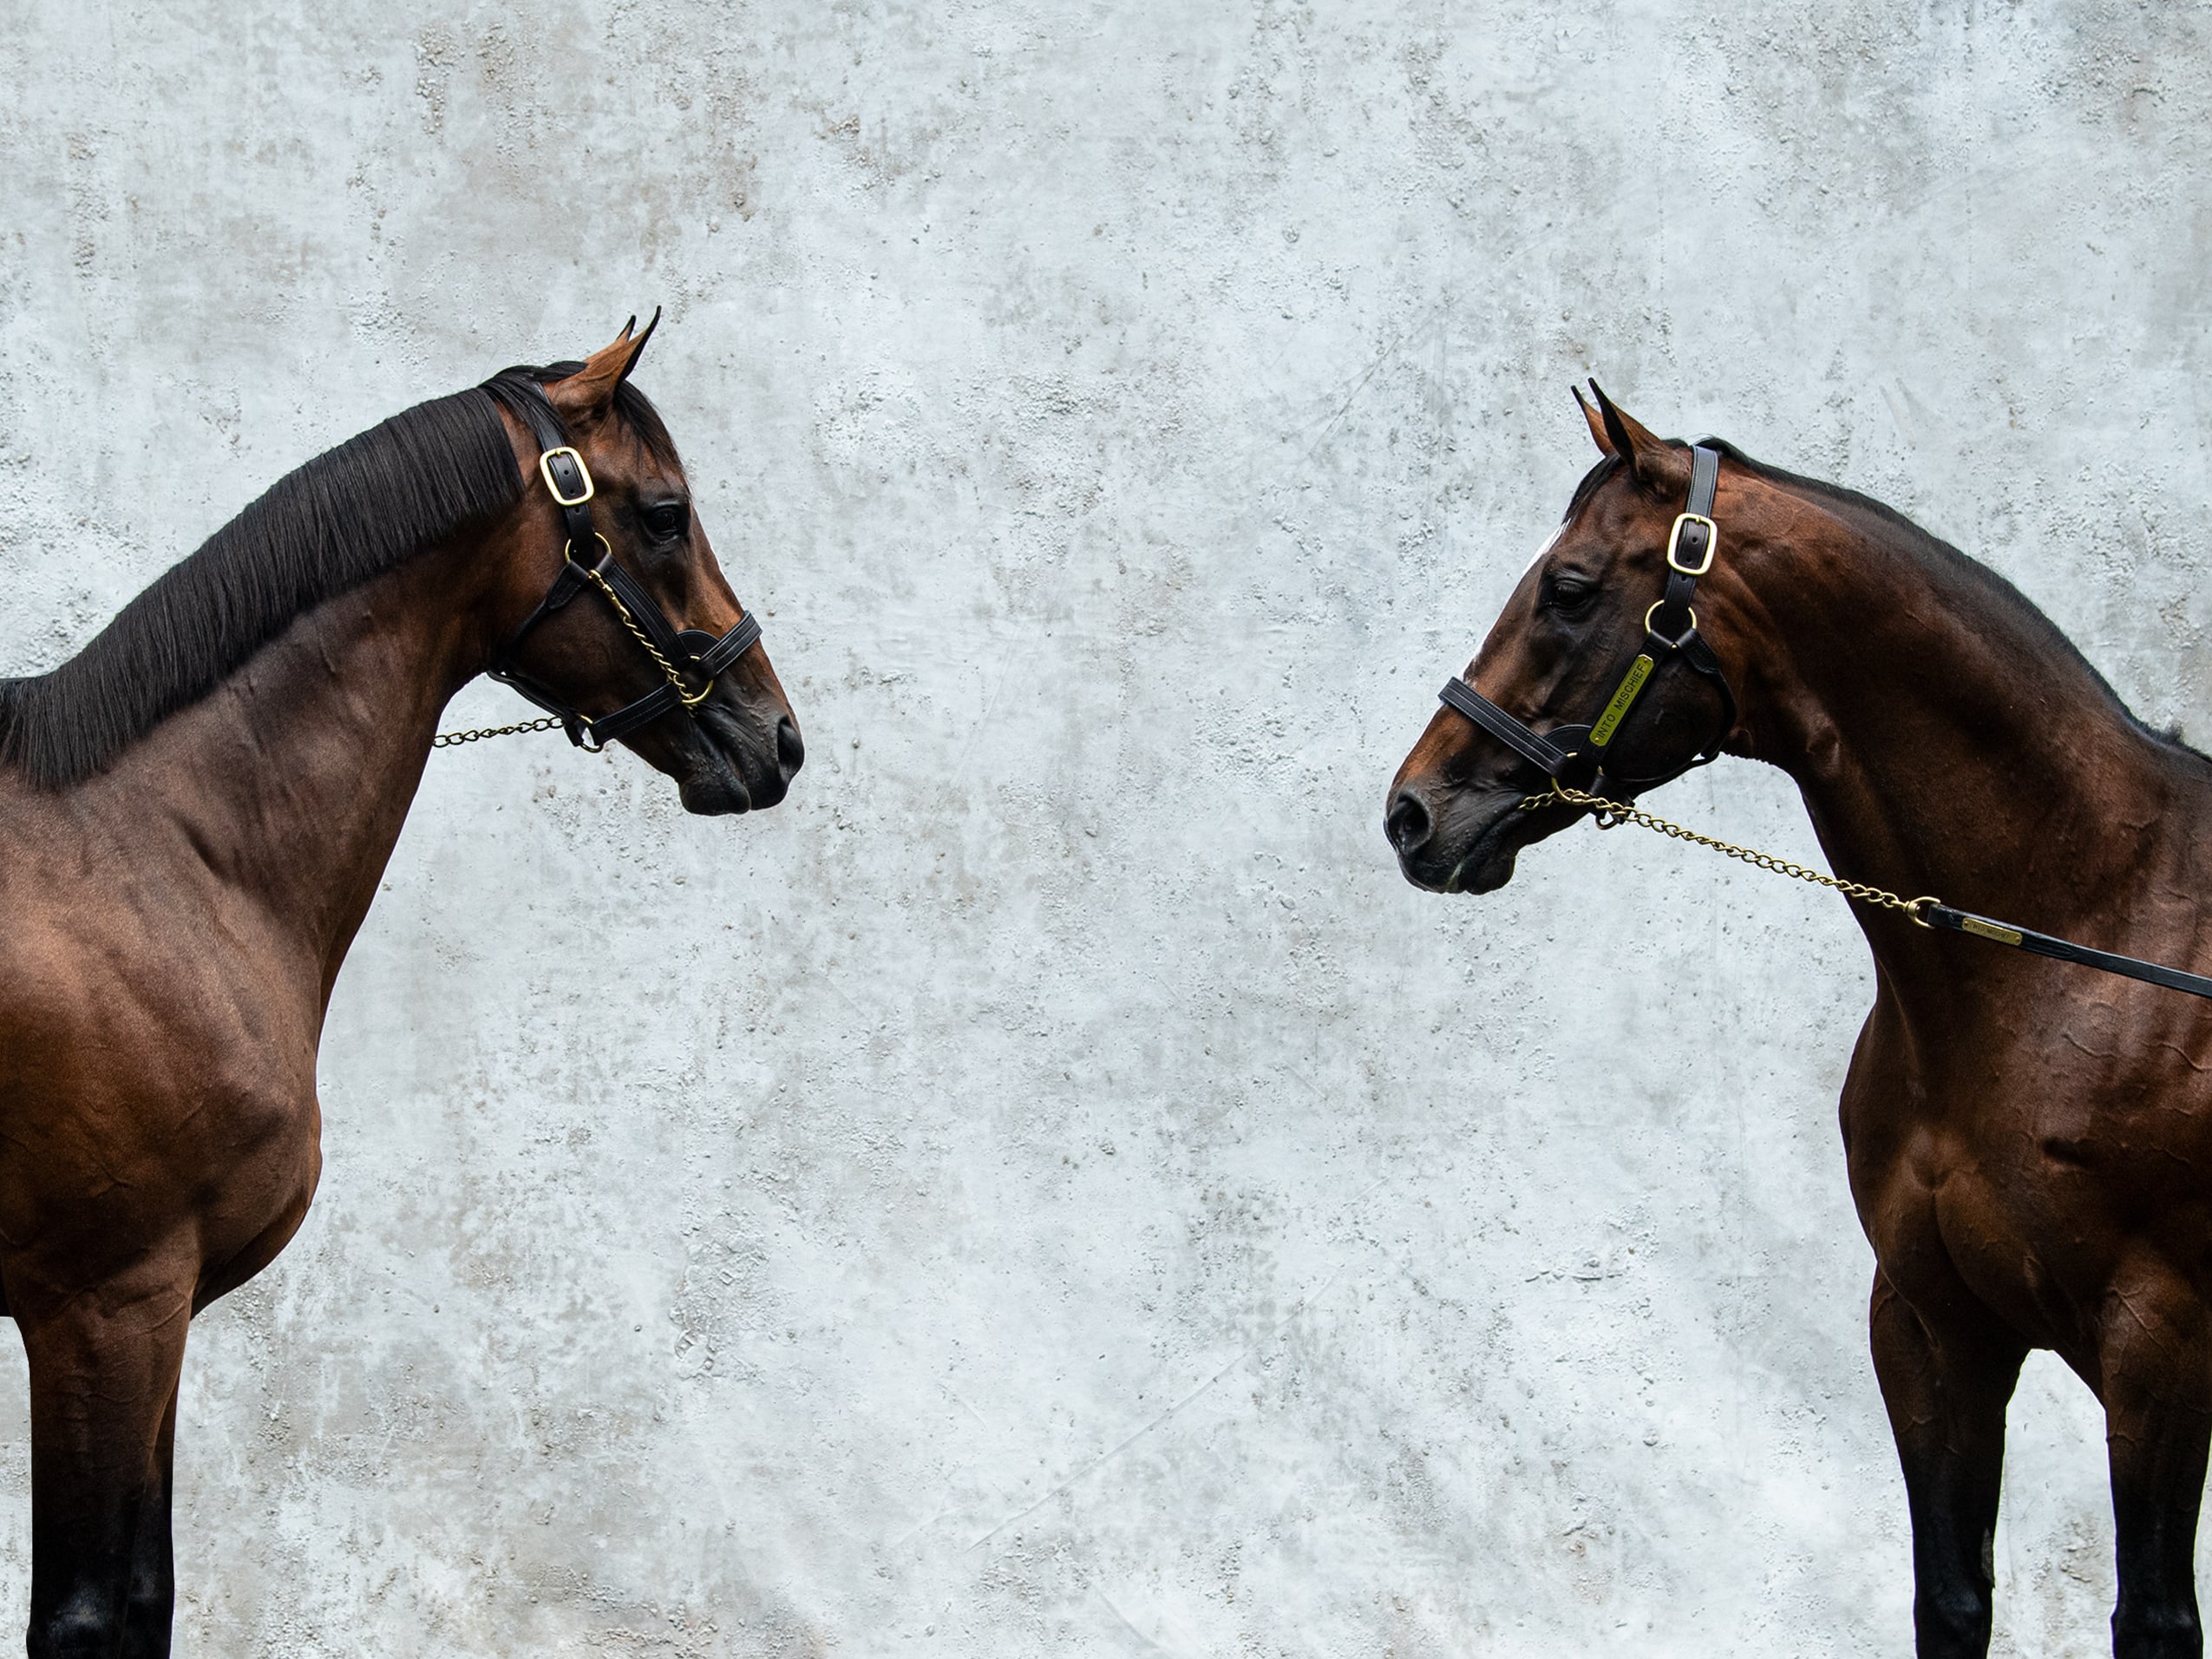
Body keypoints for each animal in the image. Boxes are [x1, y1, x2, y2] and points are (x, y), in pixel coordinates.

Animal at [0, 321, 802, 1657]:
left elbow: (151, 1593)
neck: (157, 850)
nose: (775, 737)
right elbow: (84, 1615)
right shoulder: (103, 1309)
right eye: (664, 513)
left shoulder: (157, 1321)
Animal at [1386, 385, 2212, 1659]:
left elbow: (2156, 1616)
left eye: (1569, 587)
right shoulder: (1930, 1329)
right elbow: (1951, 1594)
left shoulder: (2159, 1347)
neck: (2087, 936)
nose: (1413, 813)